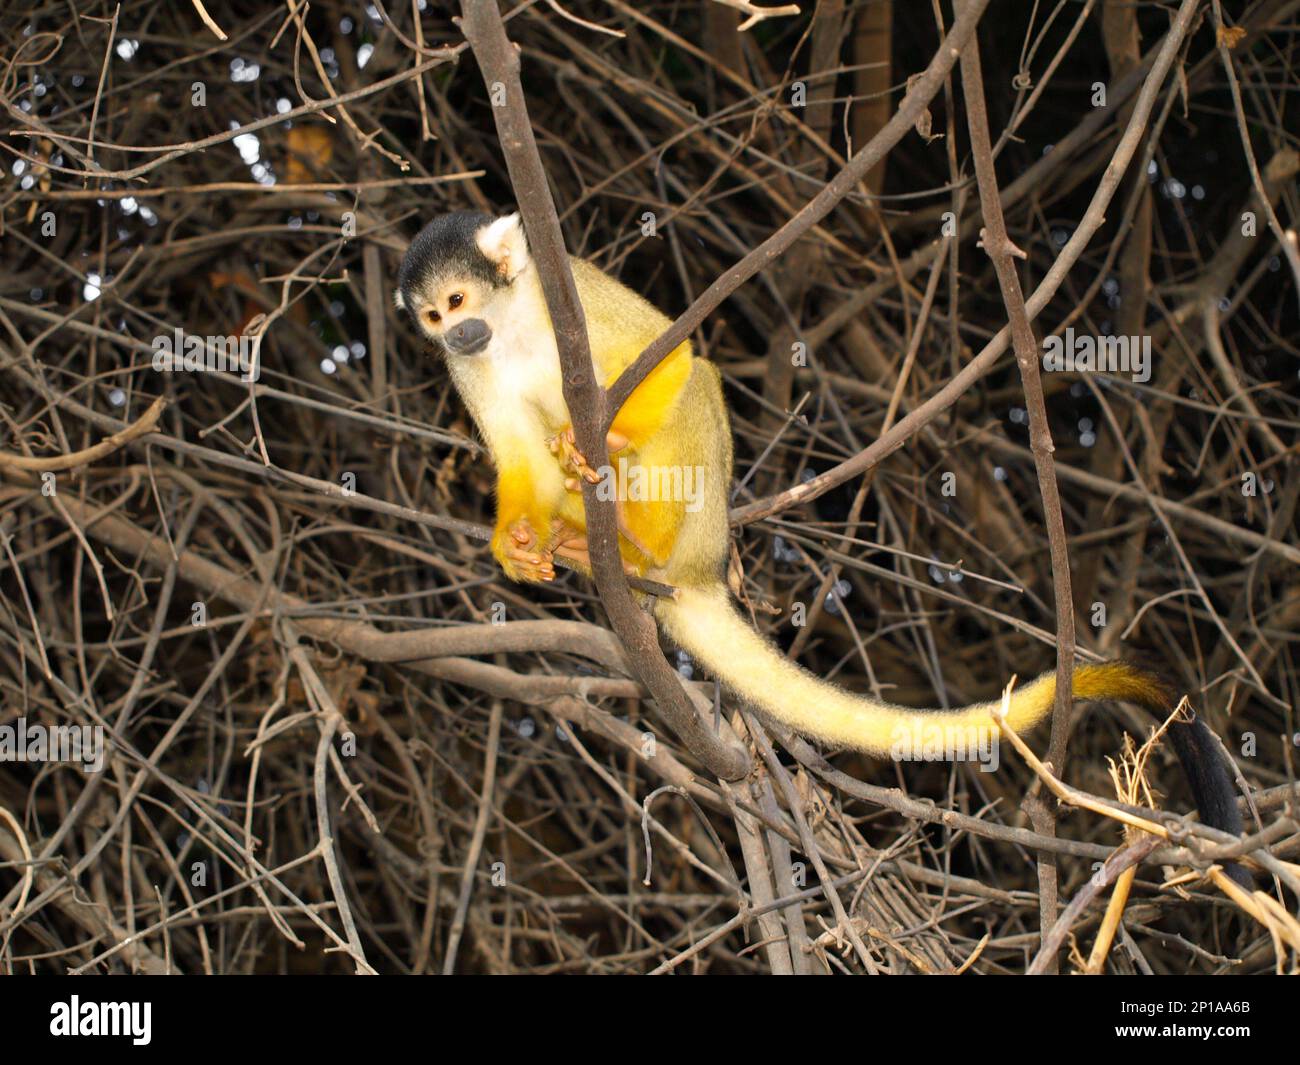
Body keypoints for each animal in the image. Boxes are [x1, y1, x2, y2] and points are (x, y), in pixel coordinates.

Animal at [396, 210, 1248, 882]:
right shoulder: (468, 372)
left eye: (459, 301)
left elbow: (670, 356)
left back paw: (637, 546)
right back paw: (581, 545)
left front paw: (596, 439)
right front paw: (514, 544)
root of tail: (702, 573)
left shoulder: (564, 291)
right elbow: (519, 458)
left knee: (695, 387)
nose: (456, 332)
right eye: (432, 319)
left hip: (702, 526)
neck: (507, 327)